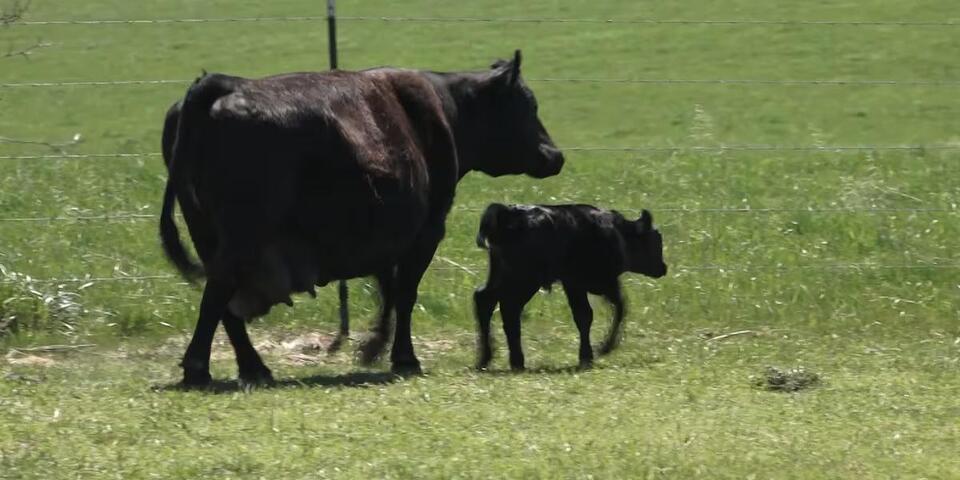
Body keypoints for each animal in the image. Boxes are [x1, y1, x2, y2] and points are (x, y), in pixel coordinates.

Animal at [160, 50, 564, 387]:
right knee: (218, 294)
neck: (445, 108)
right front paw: (404, 357)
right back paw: (200, 368)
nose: (555, 155)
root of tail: (225, 84)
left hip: (208, 234)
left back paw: (252, 367)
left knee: (225, 303)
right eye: (528, 105)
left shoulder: (387, 233)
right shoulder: (427, 230)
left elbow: (386, 289)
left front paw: (374, 347)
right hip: (242, 235)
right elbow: (405, 293)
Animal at [473, 203, 667, 371]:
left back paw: (487, 359)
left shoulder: (574, 285)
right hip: (523, 281)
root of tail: (507, 212)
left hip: (504, 277)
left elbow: (583, 316)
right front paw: (602, 349)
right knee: (509, 309)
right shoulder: (603, 282)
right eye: (655, 239)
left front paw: (587, 355)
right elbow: (618, 307)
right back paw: (515, 361)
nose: (663, 268)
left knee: (485, 300)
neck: (617, 233)